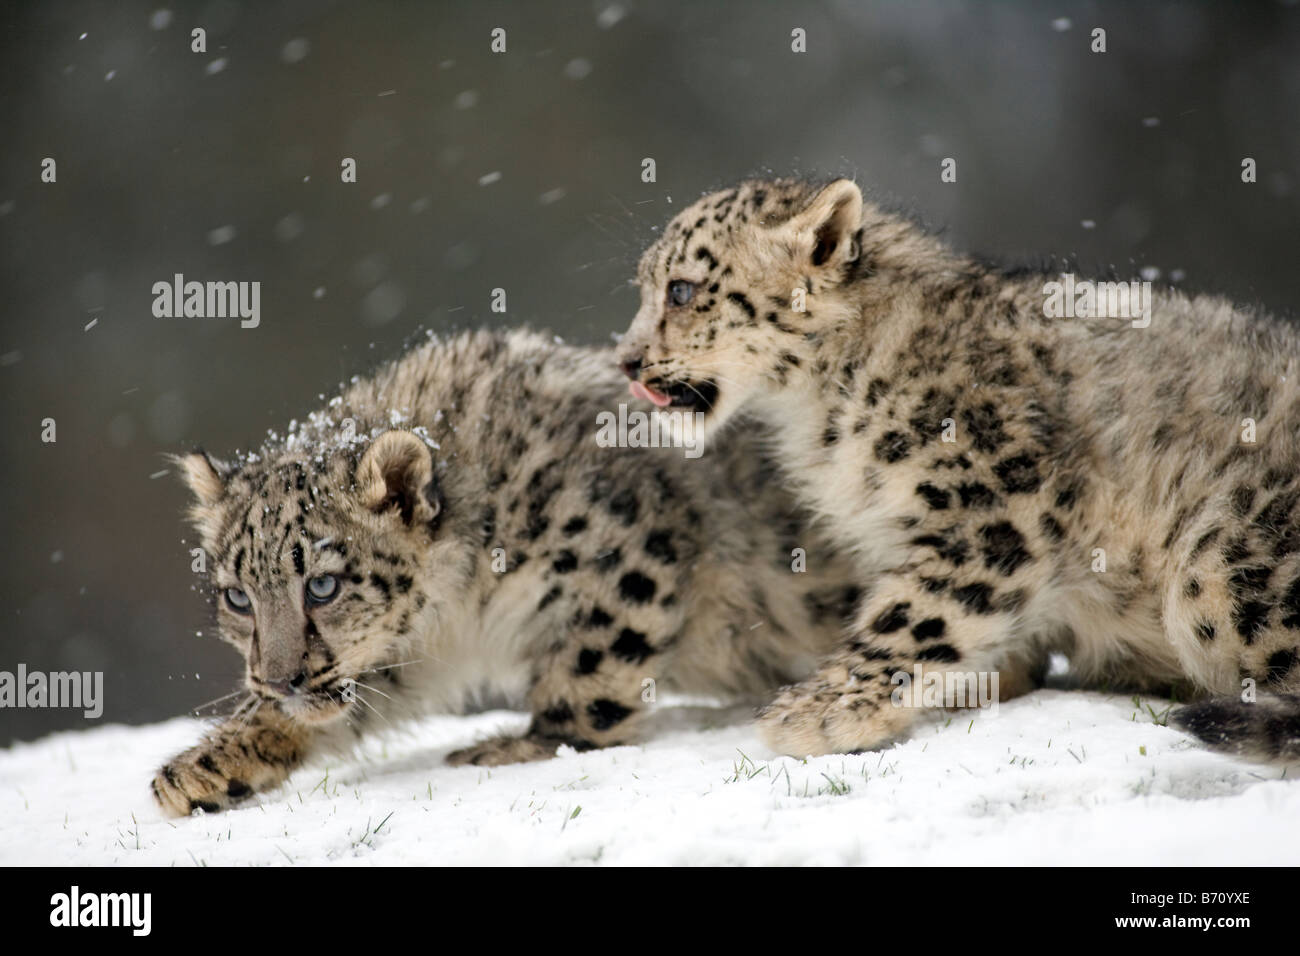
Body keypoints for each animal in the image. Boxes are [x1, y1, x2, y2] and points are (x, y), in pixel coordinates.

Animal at [151, 327, 861, 816]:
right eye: (238, 597)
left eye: (322, 585)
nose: (279, 679)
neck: (458, 610)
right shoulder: (411, 653)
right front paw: (202, 766)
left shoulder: (625, 551)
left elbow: (590, 665)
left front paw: (528, 743)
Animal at [617, 176, 1300, 763]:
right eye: (644, 288)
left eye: (680, 289)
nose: (627, 360)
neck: (818, 412)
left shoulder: (996, 506)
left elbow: (916, 614)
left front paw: (818, 712)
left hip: (1216, 565)